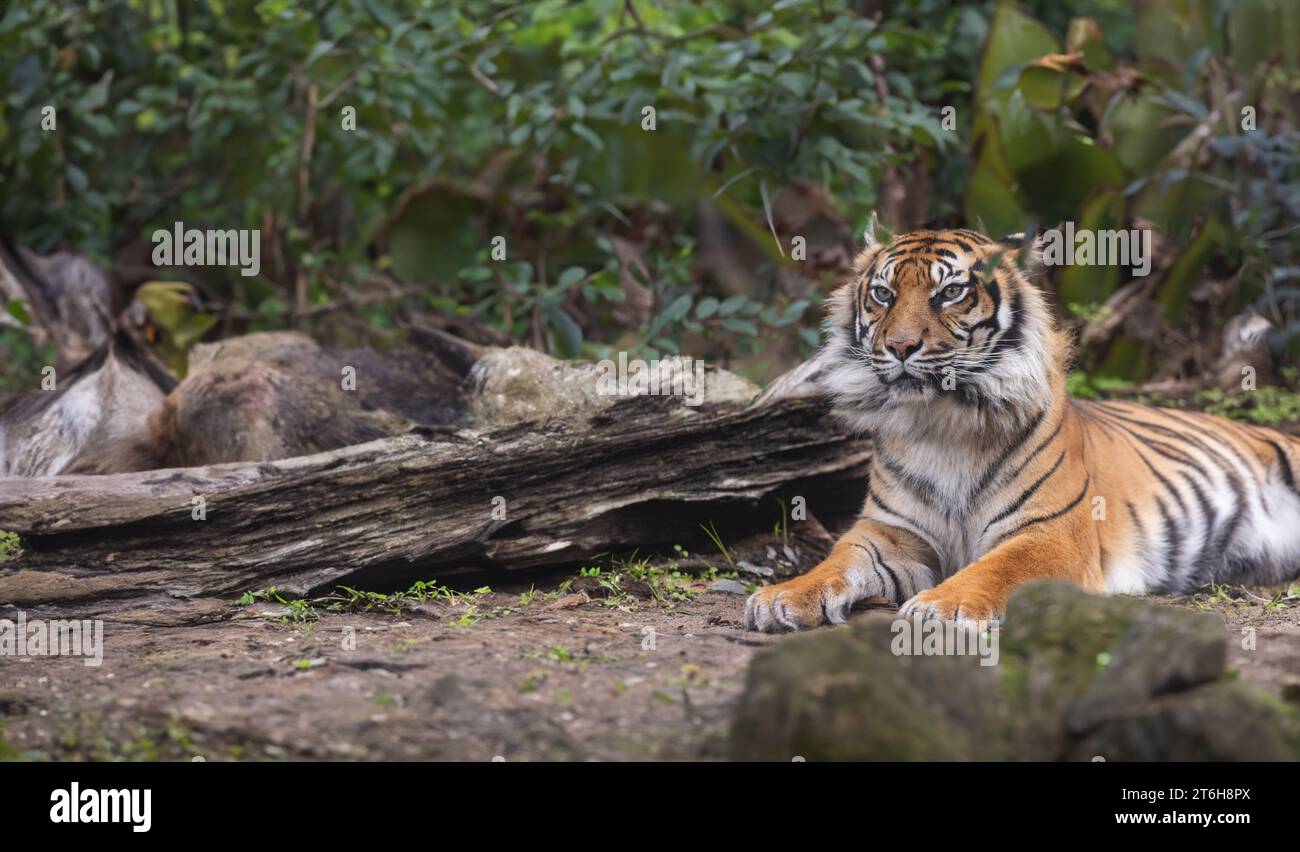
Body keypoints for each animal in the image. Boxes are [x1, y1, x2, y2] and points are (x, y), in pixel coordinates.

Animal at [744, 220, 1300, 632]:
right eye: (882, 294)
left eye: (950, 292)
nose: (900, 346)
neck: (941, 421)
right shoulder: (890, 532)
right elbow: (837, 559)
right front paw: (780, 597)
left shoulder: (1049, 533)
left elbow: (996, 567)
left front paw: (941, 608)